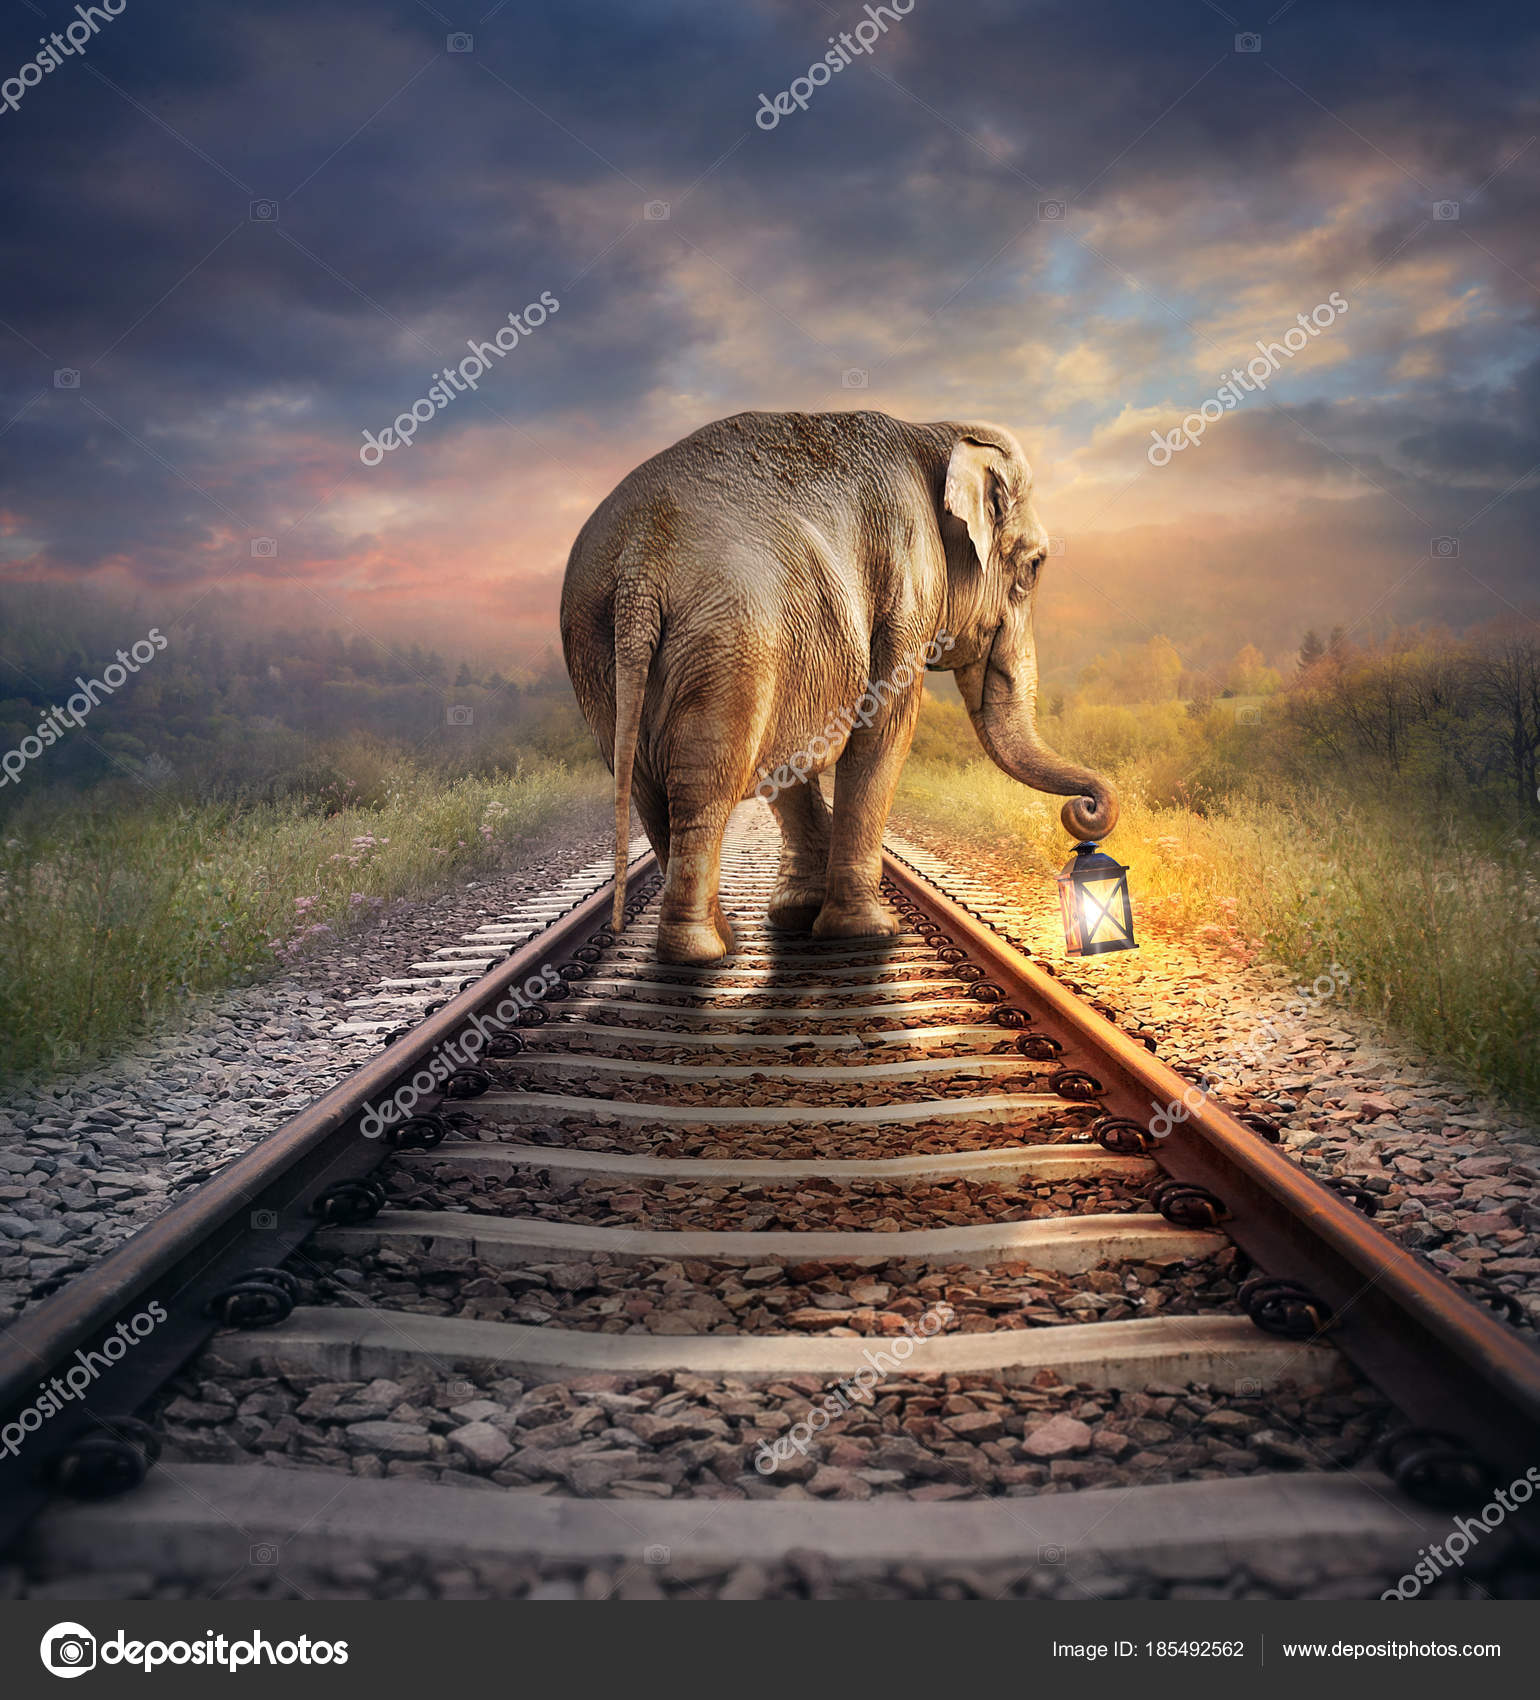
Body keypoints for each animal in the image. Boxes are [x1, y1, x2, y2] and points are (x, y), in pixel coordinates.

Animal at [560, 409, 1118, 964]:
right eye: (1035, 565)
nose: (1085, 808)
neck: (933, 432)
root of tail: (639, 564)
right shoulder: (907, 578)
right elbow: (884, 729)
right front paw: (868, 932)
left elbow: (792, 758)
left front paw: (798, 915)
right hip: (730, 641)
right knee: (703, 786)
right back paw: (701, 954)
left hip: (599, 647)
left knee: (644, 782)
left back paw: (720, 939)